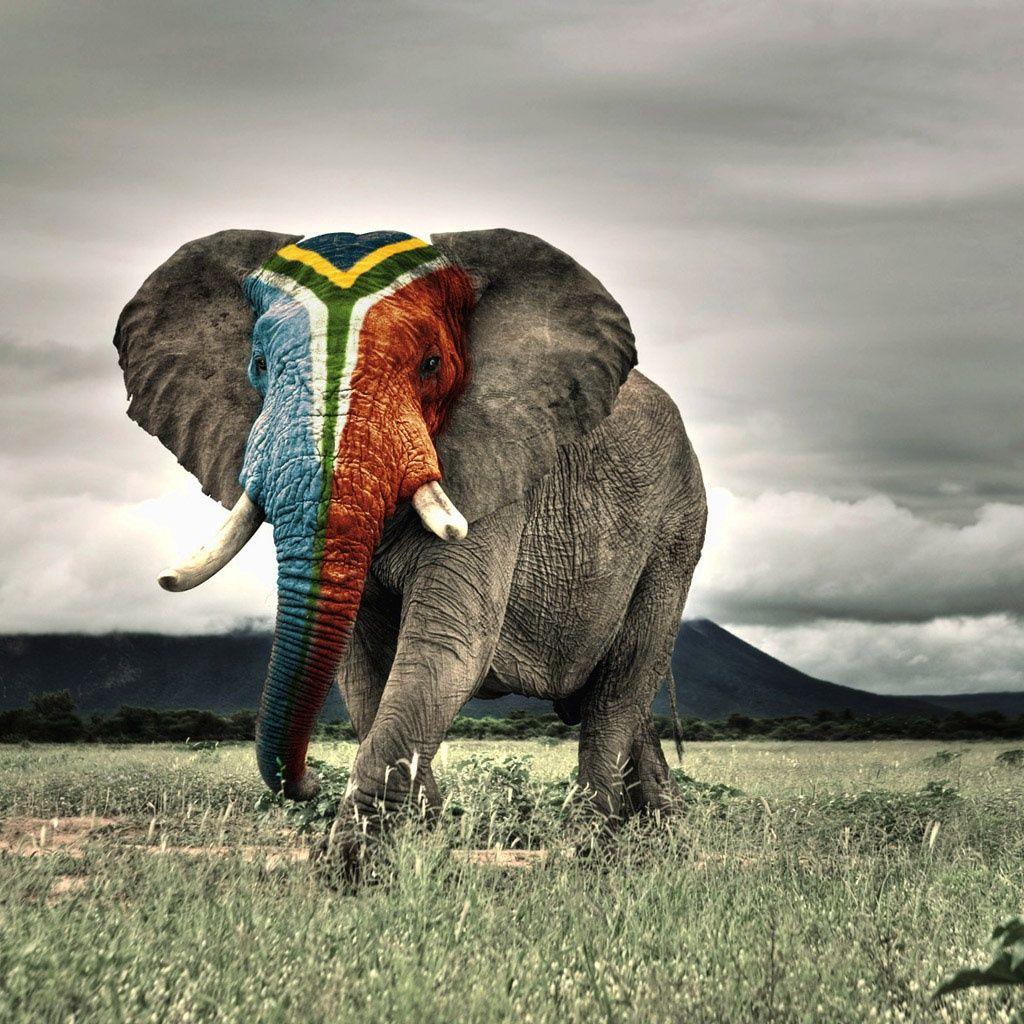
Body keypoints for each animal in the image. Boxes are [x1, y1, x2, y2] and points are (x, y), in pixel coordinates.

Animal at [115, 227, 707, 826]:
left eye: (431, 364)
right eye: (258, 364)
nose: (306, 783)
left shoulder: (498, 471)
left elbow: (447, 644)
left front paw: (365, 847)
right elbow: (364, 666)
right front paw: (424, 830)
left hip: (678, 528)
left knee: (620, 687)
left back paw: (591, 835)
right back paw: (657, 828)